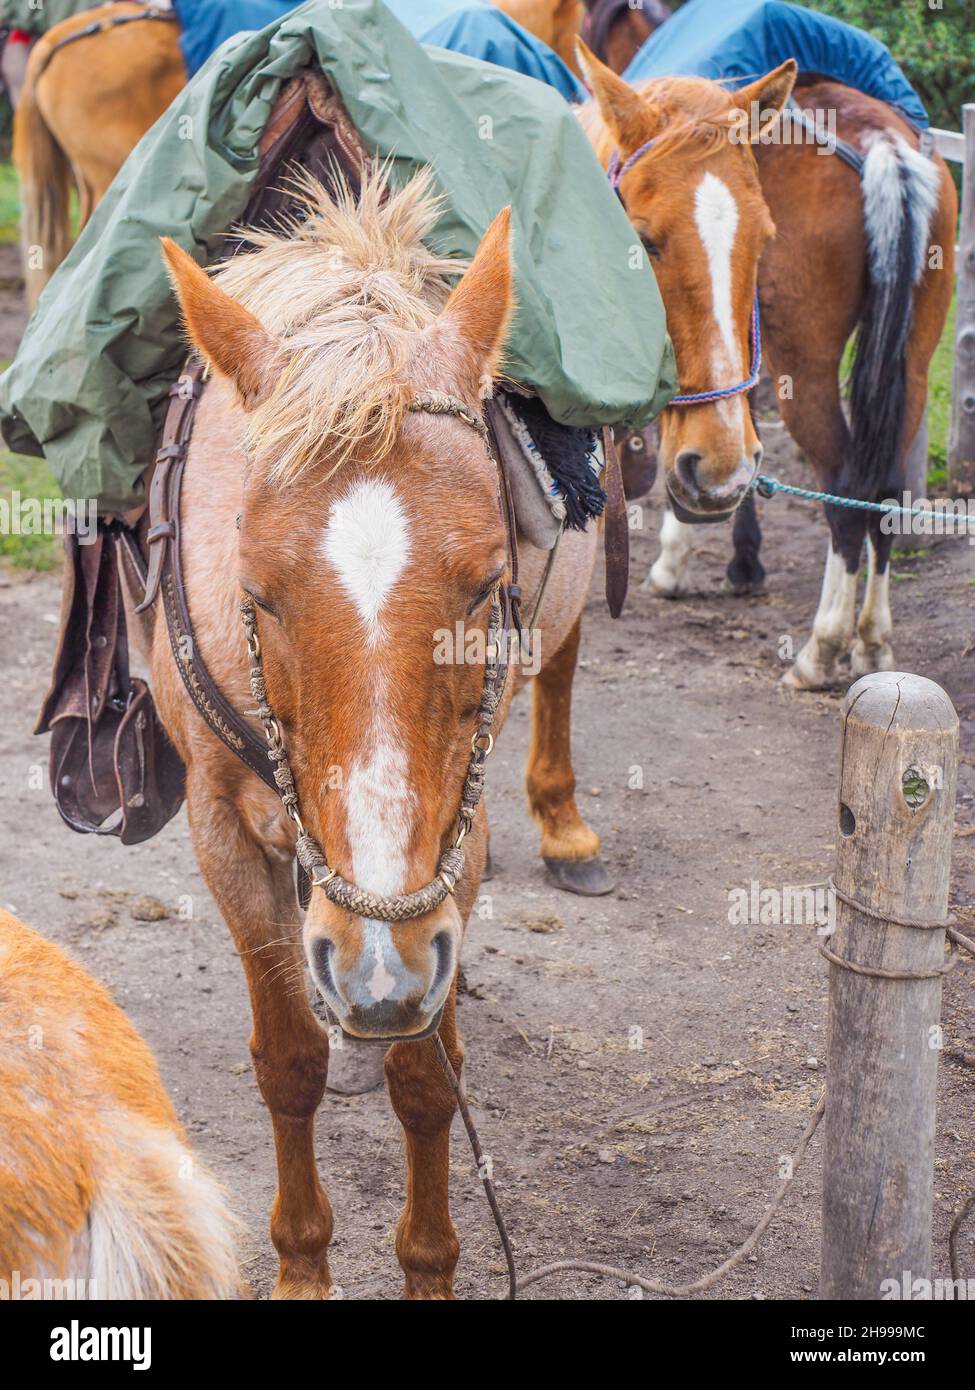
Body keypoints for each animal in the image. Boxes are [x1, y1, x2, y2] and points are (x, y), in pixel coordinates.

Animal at [124, 166, 604, 1298]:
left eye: (484, 585)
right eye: (255, 594)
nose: (377, 962)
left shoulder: (453, 845)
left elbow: (426, 1074)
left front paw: (428, 1265)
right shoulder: (221, 828)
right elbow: (288, 1056)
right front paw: (303, 1263)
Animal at [576, 41, 957, 688]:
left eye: (762, 240)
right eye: (643, 241)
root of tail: (884, 140)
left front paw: (678, 556)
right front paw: (738, 556)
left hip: (806, 372)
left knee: (845, 486)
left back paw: (823, 645)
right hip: (913, 362)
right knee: (882, 493)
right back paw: (872, 640)